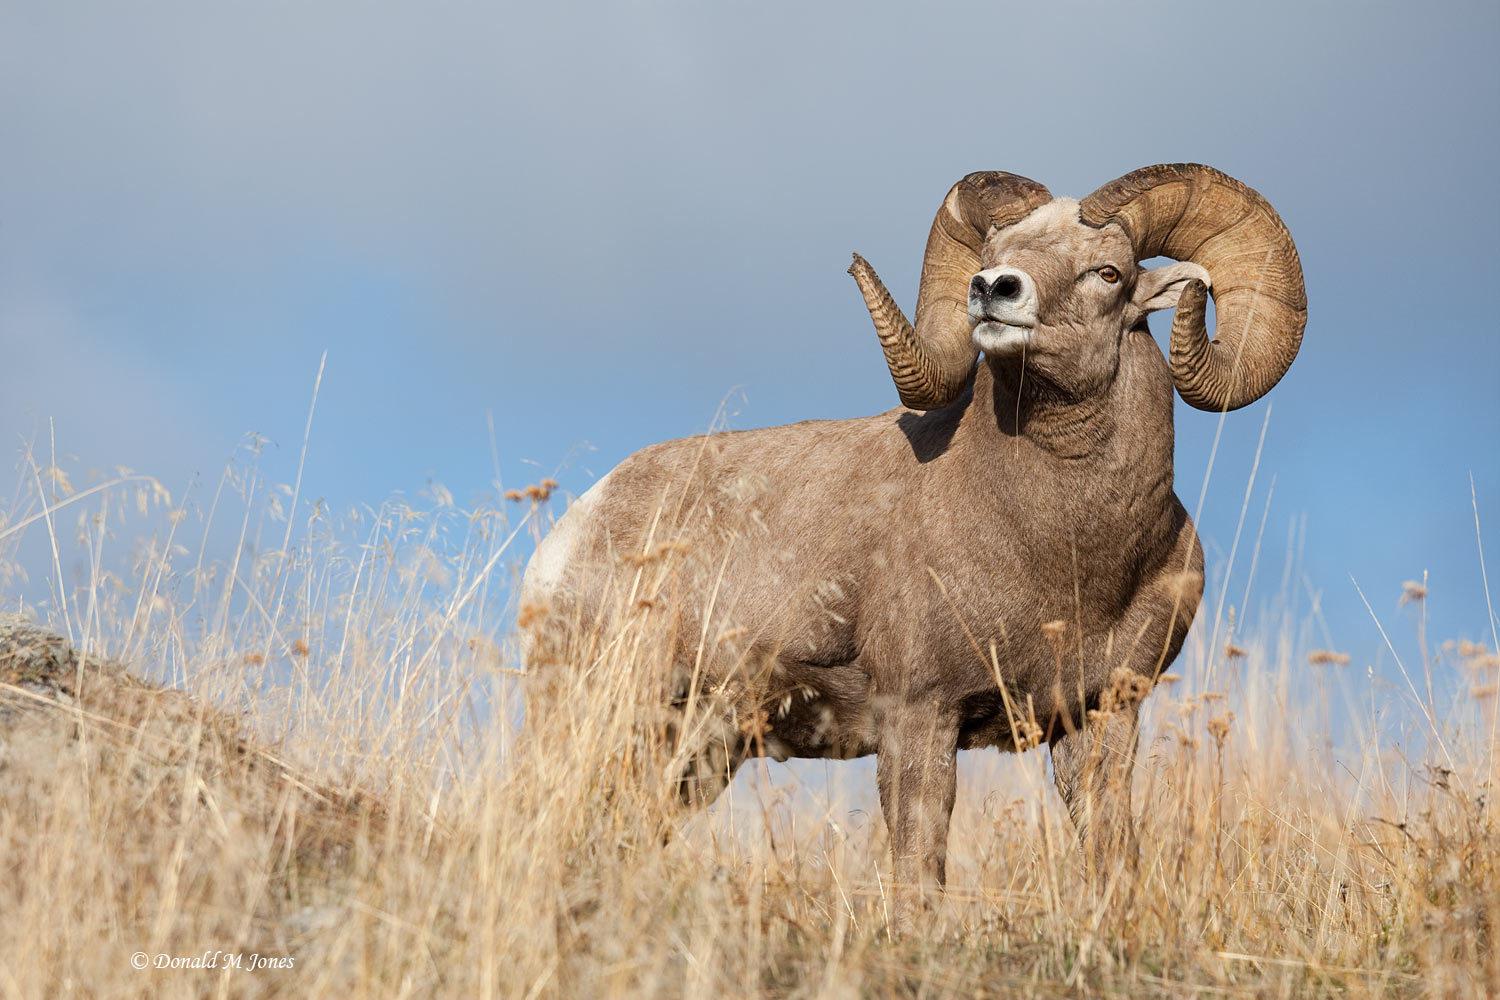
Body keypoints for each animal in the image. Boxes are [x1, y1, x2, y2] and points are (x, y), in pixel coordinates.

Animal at [519, 163, 1306, 912]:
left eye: (1108, 272)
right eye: (992, 255)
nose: (993, 290)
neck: (1068, 560)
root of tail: (565, 539)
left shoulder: (1102, 718)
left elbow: (1111, 853)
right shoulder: (920, 716)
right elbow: (918, 870)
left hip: (688, 757)